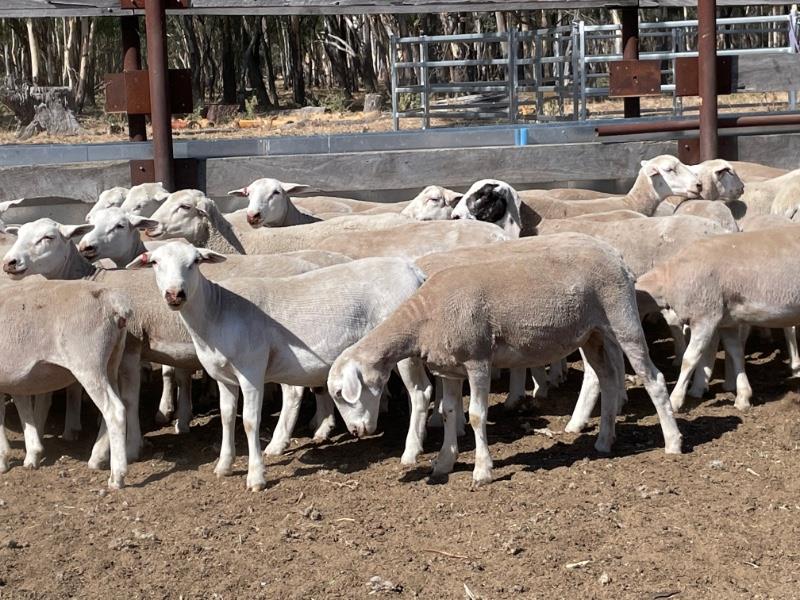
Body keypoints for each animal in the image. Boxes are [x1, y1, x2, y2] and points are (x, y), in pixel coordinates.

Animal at [0, 278, 131, 488]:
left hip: (87, 361)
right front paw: (32, 455)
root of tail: (114, 303)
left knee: (114, 410)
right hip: (112, 360)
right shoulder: (13, 378)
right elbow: (22, 407)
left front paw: (4, 460)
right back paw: (97, 458)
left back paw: (117, 477)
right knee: (115, 407)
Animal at [128, 243, 432, 490]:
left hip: (402, 347)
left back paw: (410, 452)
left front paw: (256, 477)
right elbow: (227, 418)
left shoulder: (251, 371)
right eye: (154, 262)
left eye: (194, 262)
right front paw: (224, 466)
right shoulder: (223, 377)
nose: (174, 294)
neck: (217, 313)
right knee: (422, 391)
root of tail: (415, 273)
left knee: (420, 393)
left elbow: (250, 422)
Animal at [327, 233, 683, 486]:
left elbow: (476, 416)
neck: (423, 318)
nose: (357, 432)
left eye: (341, 393)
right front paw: (443, 463)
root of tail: (615, 255)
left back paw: (673, 442)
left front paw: (482, 471)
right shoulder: (450, 370)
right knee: (608, 381)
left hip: (622, 317)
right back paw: (604, 442)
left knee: (653, 379)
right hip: (592, 333)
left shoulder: (477, 361)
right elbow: (449, 412)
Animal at [635, 225, 800, 412]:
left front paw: (675, 400)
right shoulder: (726, 322)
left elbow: (689, 359)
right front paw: (743, 397)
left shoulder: (704, 318)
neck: (668, 280)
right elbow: (735, 352)